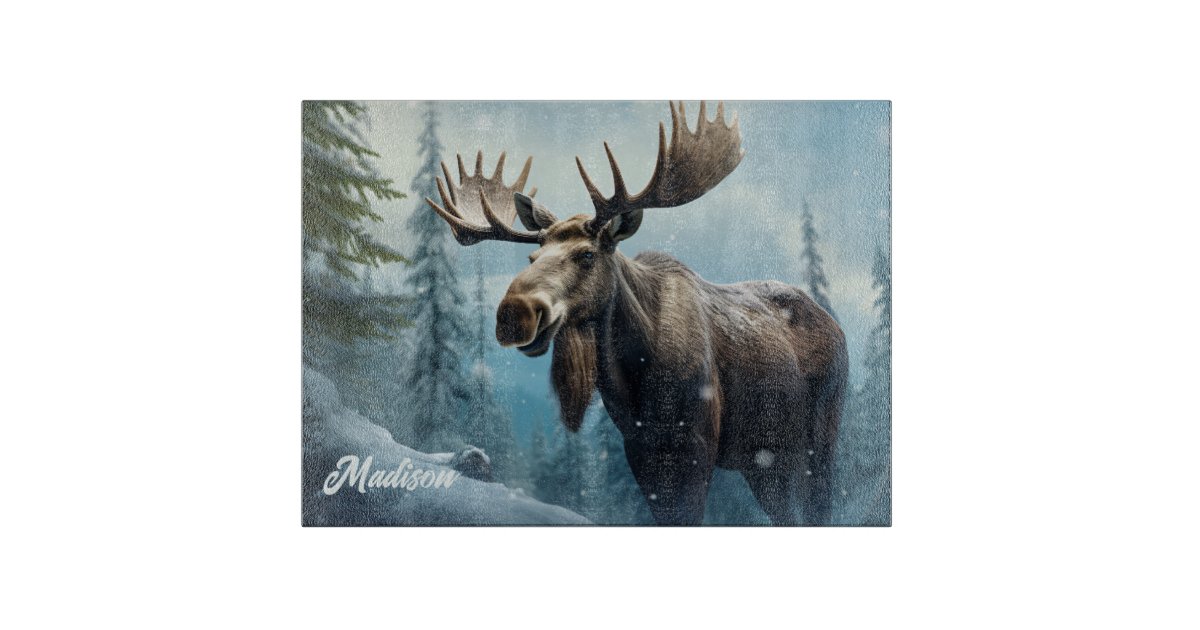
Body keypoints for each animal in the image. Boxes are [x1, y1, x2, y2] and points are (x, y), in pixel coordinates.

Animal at [424, 101, 848, 525]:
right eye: (532, 257)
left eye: (586, 254)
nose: (515, 312)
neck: (634, 375)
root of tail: (834, 324)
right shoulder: (640, 450)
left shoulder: (695, 446)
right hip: (764, 459)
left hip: (820, 438)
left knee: (819, 509)